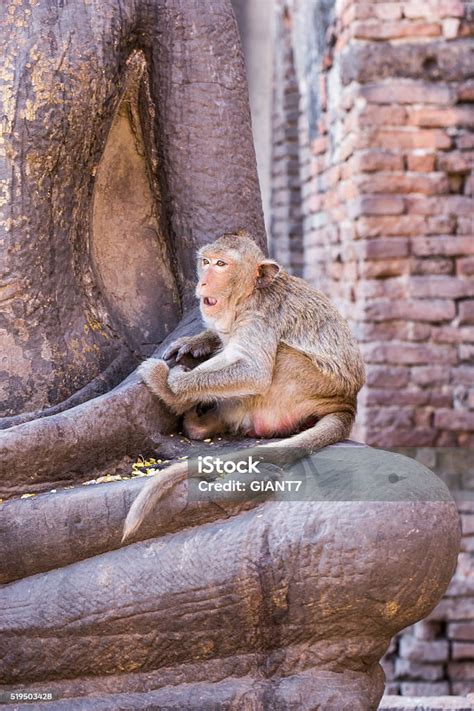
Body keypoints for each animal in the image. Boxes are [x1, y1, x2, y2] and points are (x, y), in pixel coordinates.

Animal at [122, 231, 365, 541]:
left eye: (221, 264)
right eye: (206, 262)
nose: (203, 282)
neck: (249, 295)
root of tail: (347, 404)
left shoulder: (258, 317)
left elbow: (255, 372)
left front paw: (173, 386)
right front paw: (198, 341)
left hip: (304, 383)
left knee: (278, 358)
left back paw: (179, 401)